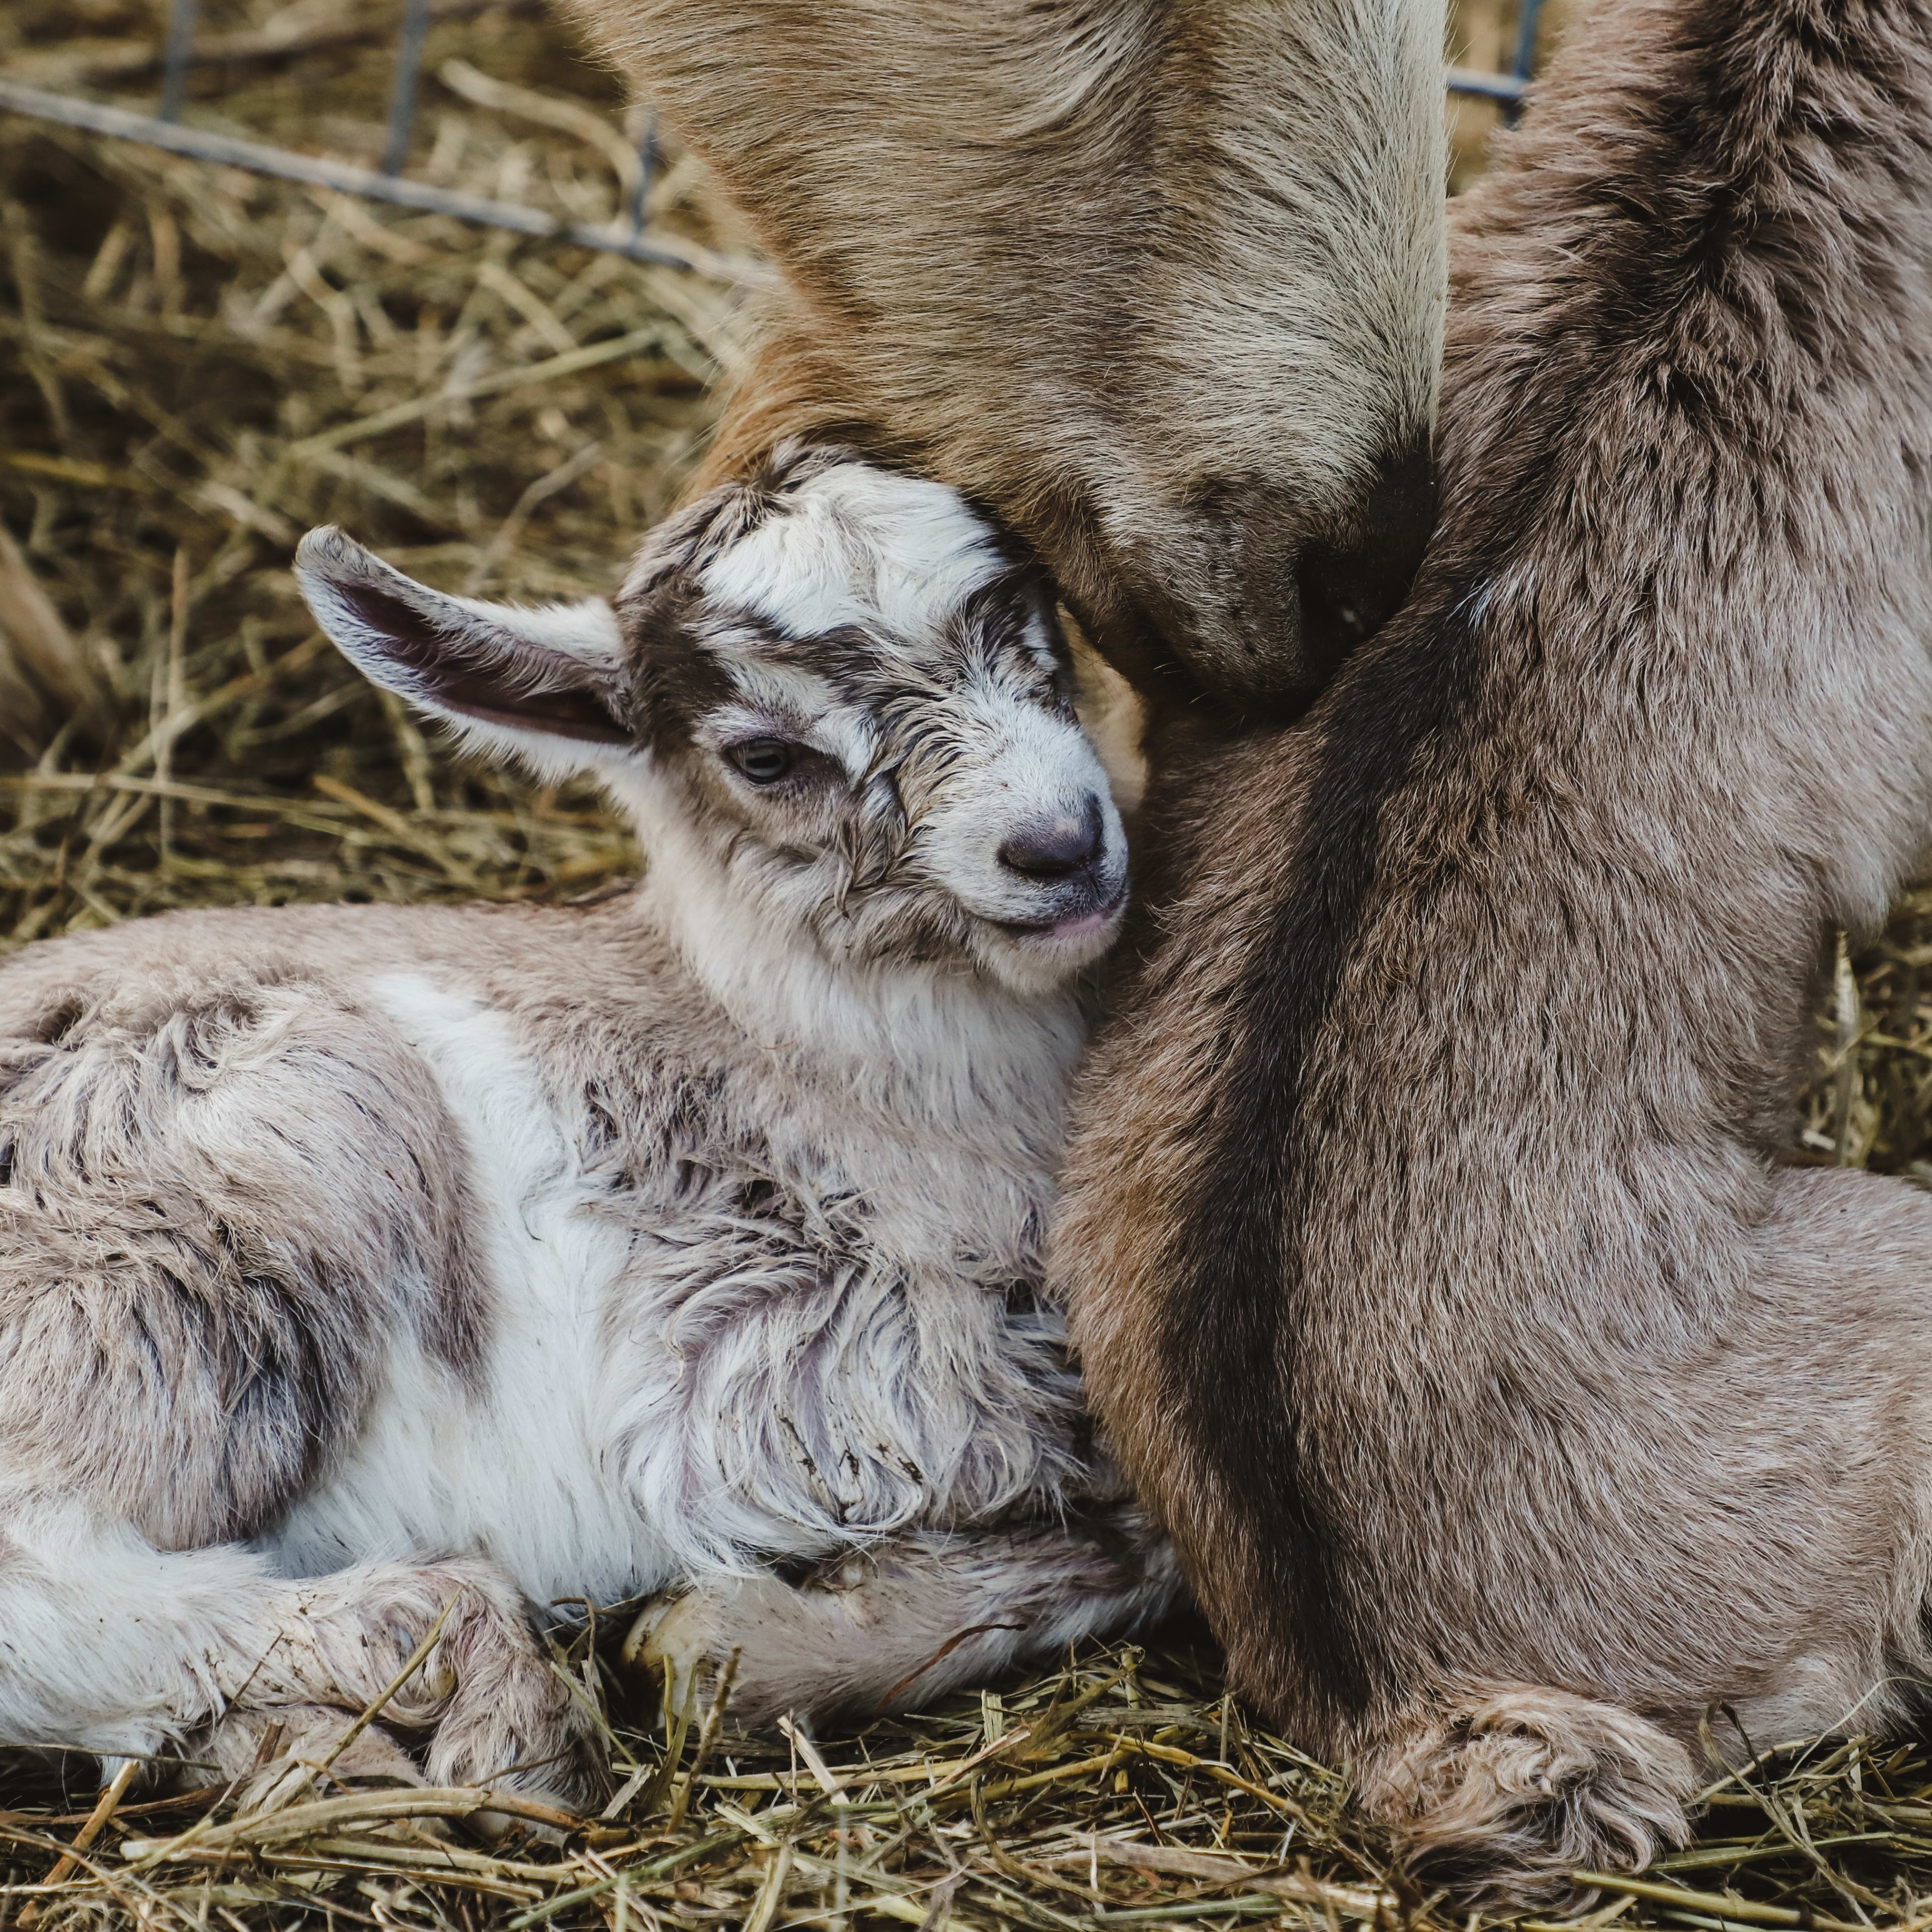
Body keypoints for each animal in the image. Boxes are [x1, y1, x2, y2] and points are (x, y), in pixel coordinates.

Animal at [0, 443, 1176, 1802]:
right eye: (763, 756)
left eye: (1024, 611)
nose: (1058, 844)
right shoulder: (785, 1370)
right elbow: (1146, 1525)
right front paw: (727, 1644)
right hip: (225, 1205)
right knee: (46, 1584)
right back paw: (484, 1707)